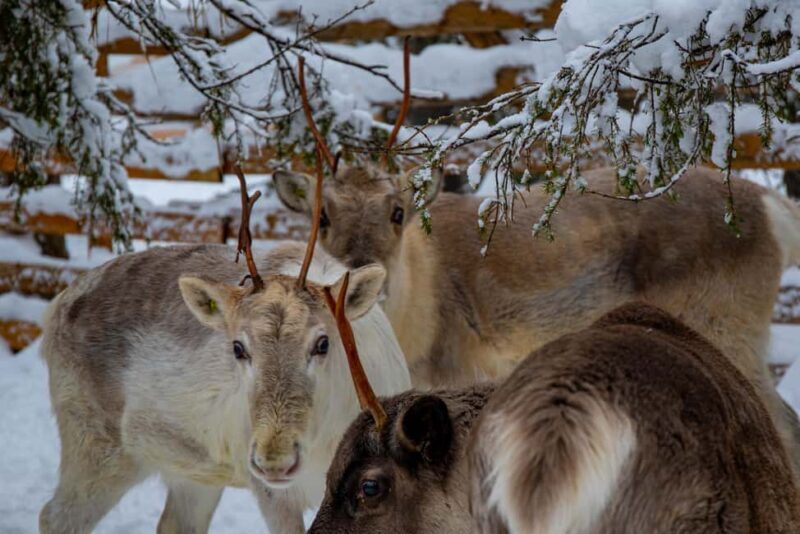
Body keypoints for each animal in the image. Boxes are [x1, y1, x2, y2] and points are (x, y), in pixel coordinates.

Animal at [38, 59, 410, 534]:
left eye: (323, 342)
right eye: (238, 347)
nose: (274, 457)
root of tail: (57, 309)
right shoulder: (271, 492)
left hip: (191, 472)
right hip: (95, 444)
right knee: (54, 515)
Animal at [273, 38, 800, 468]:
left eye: (398, 211)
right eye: (323, 217)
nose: (359, 272)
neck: (417, 330)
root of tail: (772, 207)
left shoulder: (460, 370)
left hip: (727, 325)